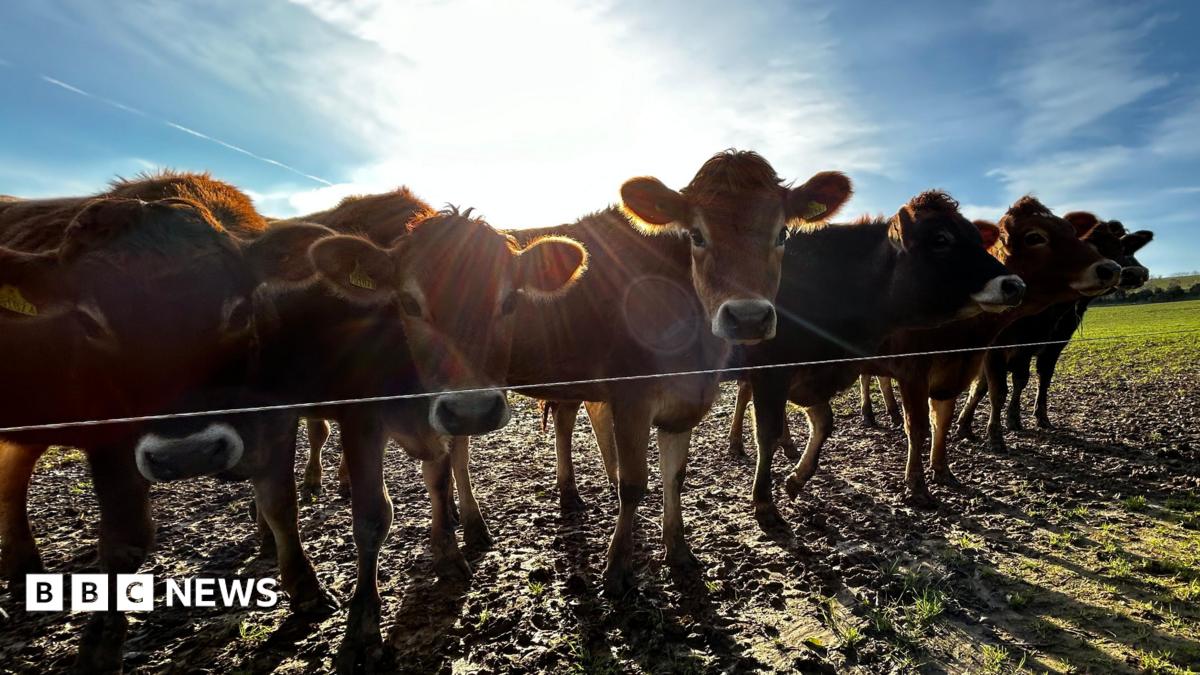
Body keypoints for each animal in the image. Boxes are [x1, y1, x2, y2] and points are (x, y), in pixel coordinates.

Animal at [443, 150, 854, 596]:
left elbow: (675, 476)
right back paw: (470, 524)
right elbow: (634, 483)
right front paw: (618, 565)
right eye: (696, 235)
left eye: (782, 234)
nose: (748, 318)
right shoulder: (631, 398)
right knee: (456, 449)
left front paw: (678, 550)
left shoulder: (685, 400)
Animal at [714, 192, 1024, 527]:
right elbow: (767, 433)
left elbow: (824, 422)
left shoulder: (808, 376)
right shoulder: (772, 371)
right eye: (941, 238)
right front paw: (764, 504)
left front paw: (796, 479)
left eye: (978, 239)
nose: (1015, 285)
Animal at [855, 197, 1121, 507]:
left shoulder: (957, 369)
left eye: (1070, 230)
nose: (1110, 268)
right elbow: (919, 425)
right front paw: (917, 486)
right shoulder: (915, 371)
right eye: (1034, 237)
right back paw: (868, 415)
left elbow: (942, 421)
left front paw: (942, 470)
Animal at [953, 214, 1153, 434]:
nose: (1138, 272)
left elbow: (1035, 378)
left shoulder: (1050, 346)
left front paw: (1030, 417)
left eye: (1123, 246)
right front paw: (972, 424)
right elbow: (990, 385)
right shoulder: (999, 348)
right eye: (1092, 245)